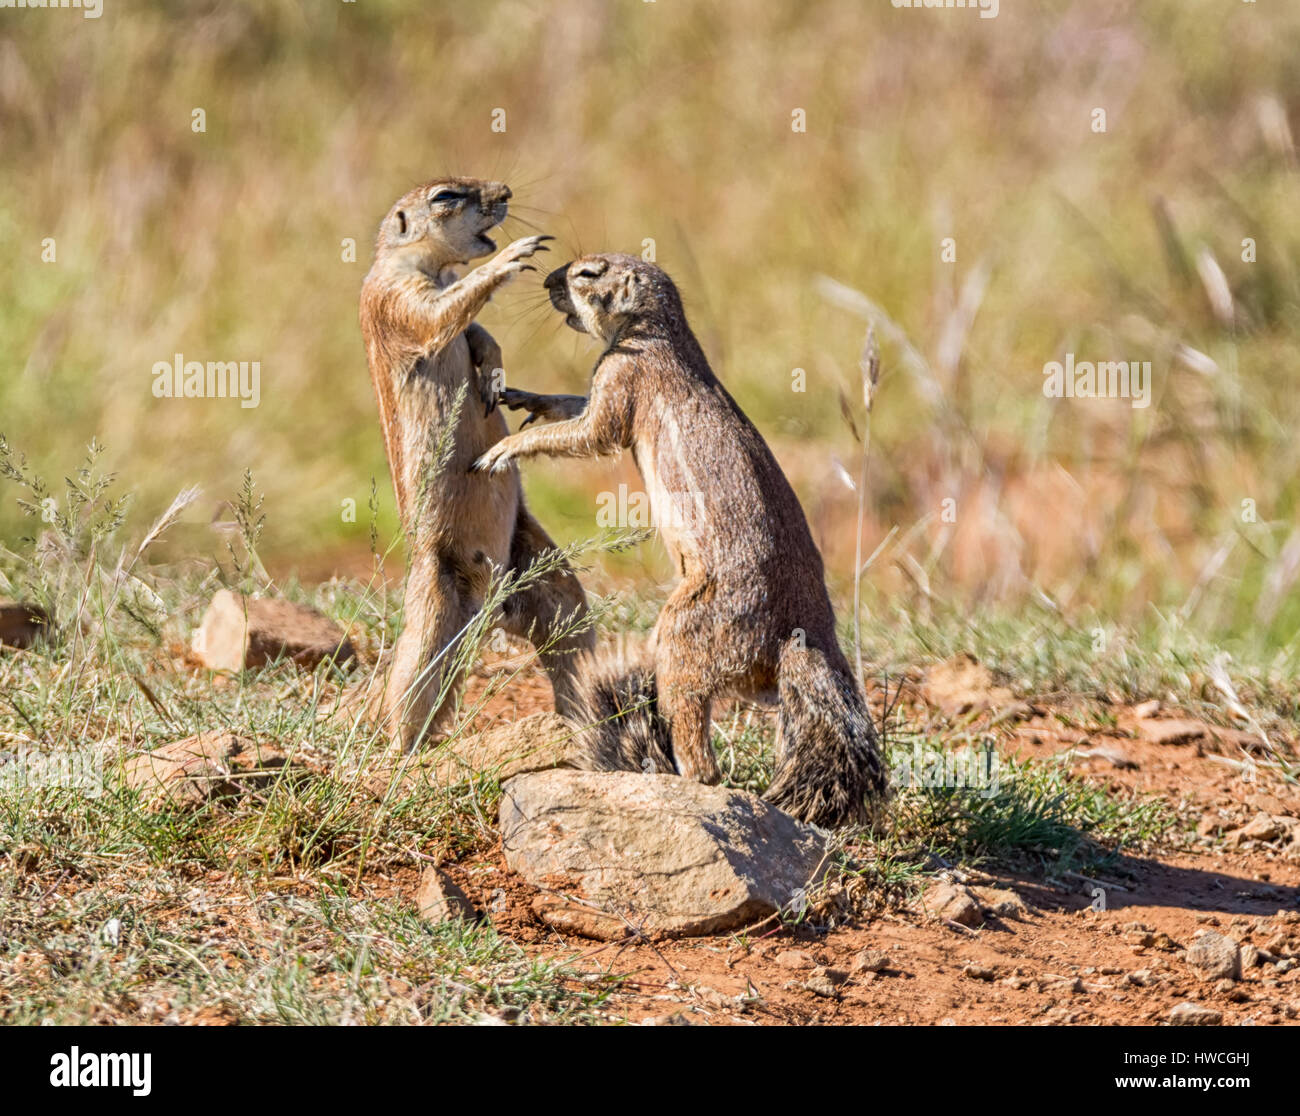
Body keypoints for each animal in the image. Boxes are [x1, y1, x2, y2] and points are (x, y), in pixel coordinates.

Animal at [359, 177, 593, 750]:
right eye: (446, 195)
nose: (505, 190)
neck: (427, 263)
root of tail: (489, 608)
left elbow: (477, 330)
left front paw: (495, 379)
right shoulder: (397, 297)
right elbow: (444, 313)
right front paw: (516, 254)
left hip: (543, 568)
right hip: (433, 603)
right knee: (409, 682)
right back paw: (401, 750)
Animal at [476, 253, 888, 827]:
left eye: (589, 272)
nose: (548, 280)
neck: (657, 331)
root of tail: (809, 632)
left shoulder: (622, 376)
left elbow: (592, 430)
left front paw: (506, 448)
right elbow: (573, 404)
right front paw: (524, 396)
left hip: (685, 632)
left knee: (699, 747)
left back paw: (676, 779)